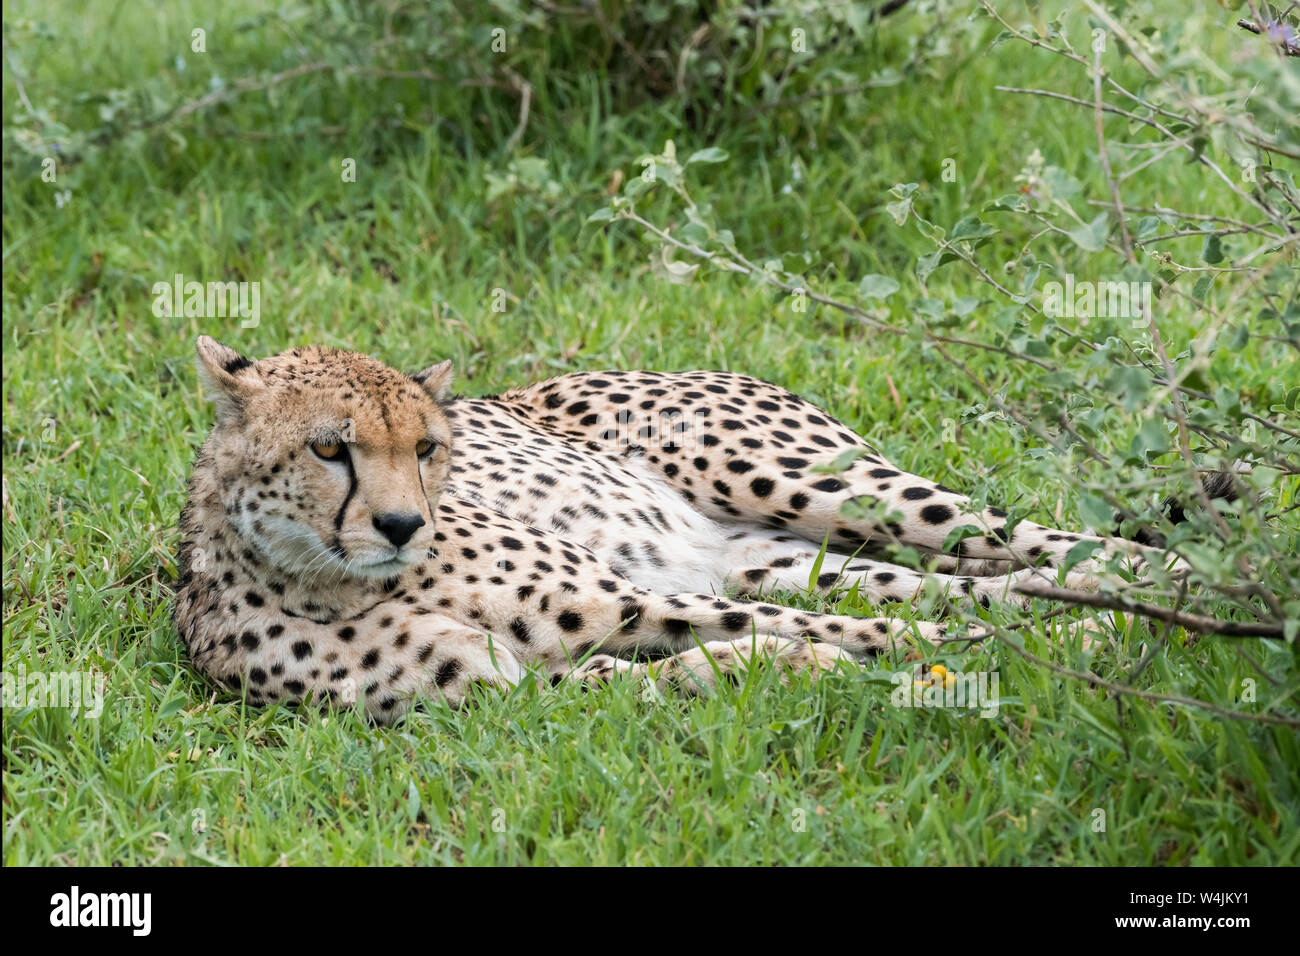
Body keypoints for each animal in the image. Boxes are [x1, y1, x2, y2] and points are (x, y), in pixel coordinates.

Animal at [174, 336, 1180, 722]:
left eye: (426, 447)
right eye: (329, 448)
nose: (400, 525)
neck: (326, 579)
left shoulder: (618, 597)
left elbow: (880, 636)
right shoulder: (512, 686)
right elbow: (663, 674)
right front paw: (774, 669)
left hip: (810, 481)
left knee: (1024, 541)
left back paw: (1151, 589)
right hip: (765, 556)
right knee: (964, 581)